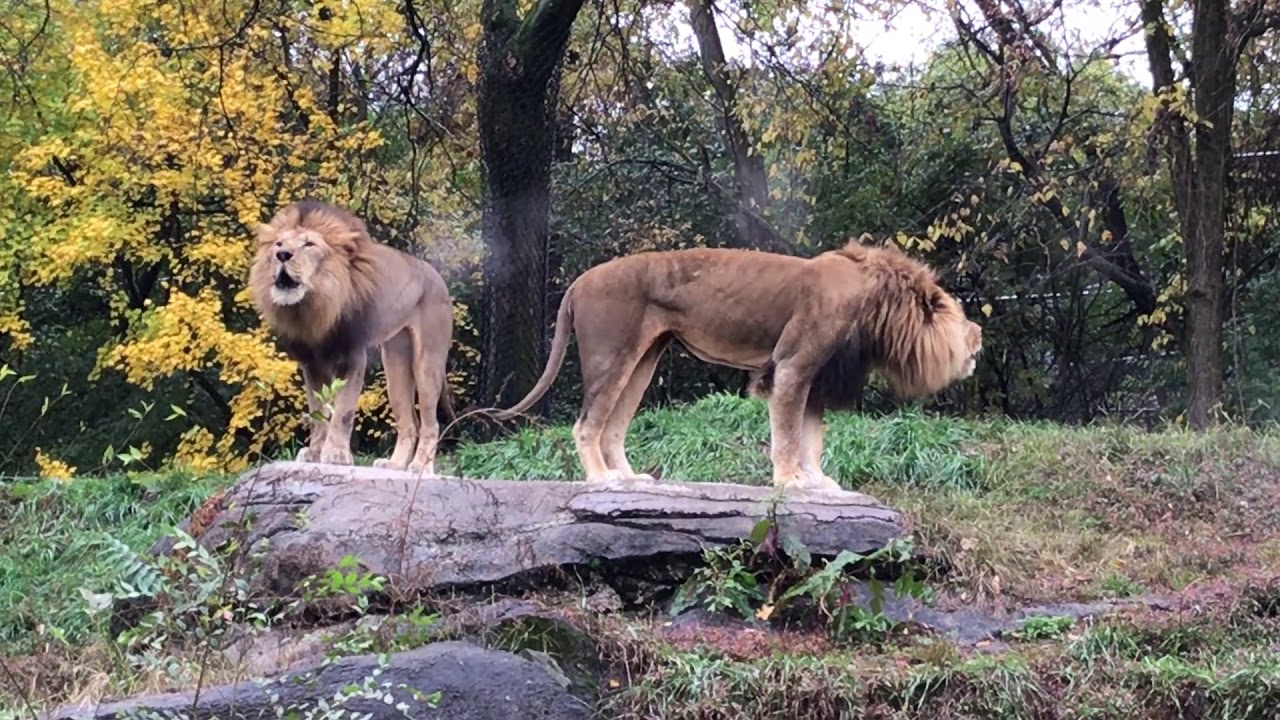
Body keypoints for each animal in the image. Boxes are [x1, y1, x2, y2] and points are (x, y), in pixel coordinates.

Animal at [248, 199, 454, 475]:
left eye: (309, 244)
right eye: (279, 244)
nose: (282, 255)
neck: (315, 306)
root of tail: (436, 275)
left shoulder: (352, 357)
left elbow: (343, 411)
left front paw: (336, 454)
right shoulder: (312, 364)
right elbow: (318, 412)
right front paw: (314, 453)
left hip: (427, 362)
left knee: (431, 423)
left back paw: (420, 467)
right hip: (396, 364)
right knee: (408, 422)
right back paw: (395, 464)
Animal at [487, 238, 982, 492]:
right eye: (958, 315)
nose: (979, 335)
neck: (876, 300)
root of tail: (578, 282)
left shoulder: (818, 374)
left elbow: (812, 436)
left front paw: (818, 480)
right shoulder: (794, 364)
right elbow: (788, 435)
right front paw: (789, 482)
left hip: (643, 360)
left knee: (613, 426)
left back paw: (630, 478)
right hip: (611, 354)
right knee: (587, 424)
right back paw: (600, 479)